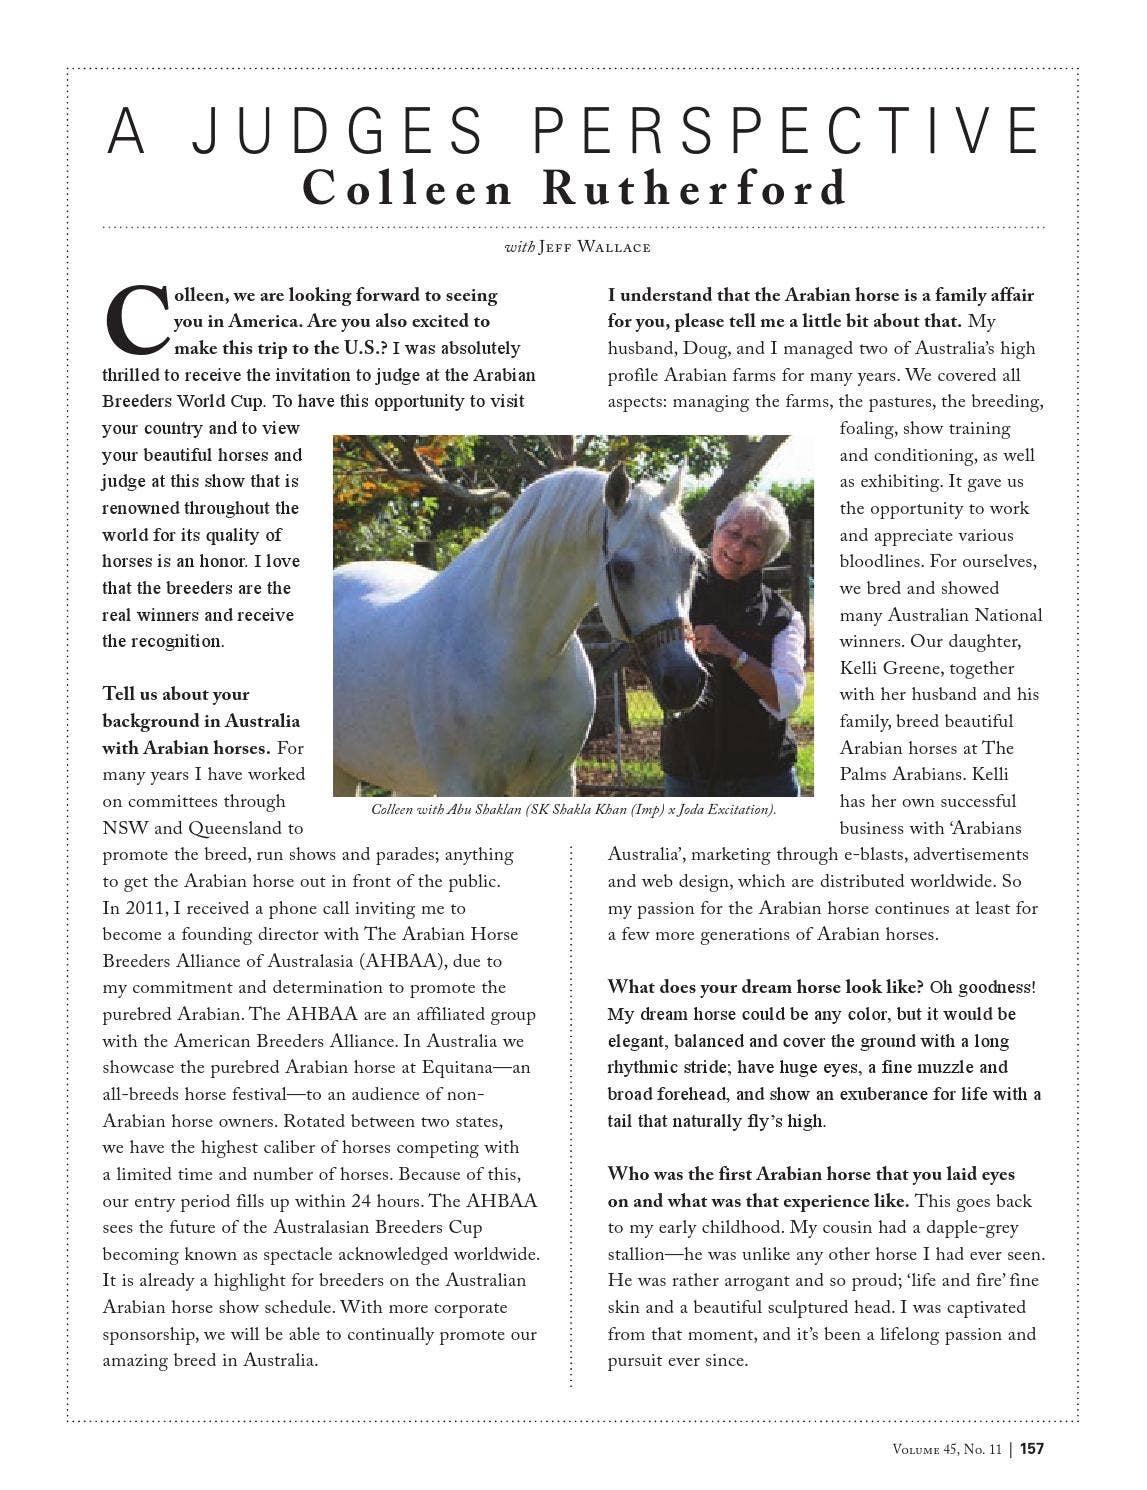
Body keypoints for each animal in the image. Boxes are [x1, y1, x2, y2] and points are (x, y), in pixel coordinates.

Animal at [332, 464, 708, 796]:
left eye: (691, 561)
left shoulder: (554, 783)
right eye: (622, 568)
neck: (520, 659)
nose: (685, 680)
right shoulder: (467, 786)